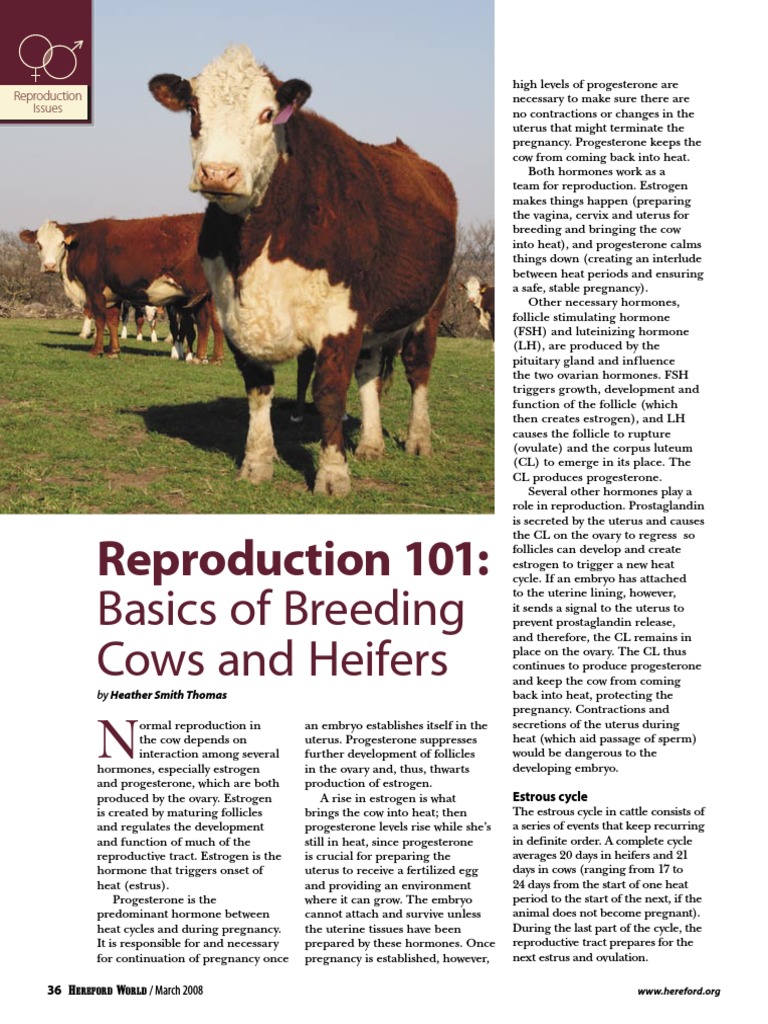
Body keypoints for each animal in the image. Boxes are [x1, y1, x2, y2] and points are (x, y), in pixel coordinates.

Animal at [19, 216, 225, 363]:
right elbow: (112, 322)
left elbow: (100, 319)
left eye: (61, 243)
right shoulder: (113, 294)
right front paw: (114, 351)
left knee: (206, 322)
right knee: (212, 322)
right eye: (39, 244)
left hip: (200, 292)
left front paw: (96, 350)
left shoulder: (94, 289)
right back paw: (210, 358)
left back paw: (202, 358)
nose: (49, 266)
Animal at [149, 45, 456, 496]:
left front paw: (332, 475)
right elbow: (257, 391)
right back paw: (371, 443)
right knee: (369, 372)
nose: (219, 173)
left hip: (430, 306)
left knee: (418, 369)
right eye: (193, 109)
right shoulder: (235, 315)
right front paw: (257, 463)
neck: (256, 243)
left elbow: (329, 392)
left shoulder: (340, 316)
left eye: (267, 113)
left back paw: (418, 439)